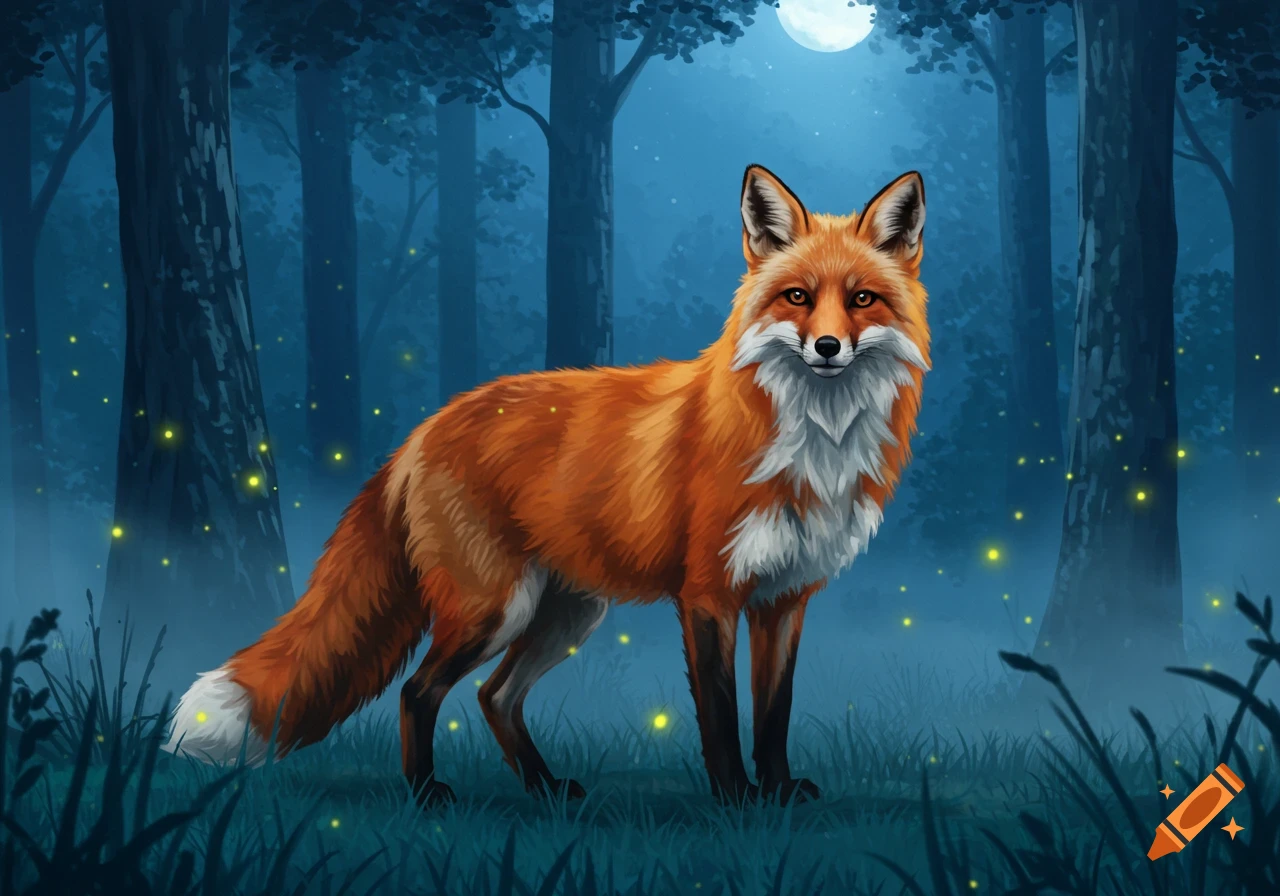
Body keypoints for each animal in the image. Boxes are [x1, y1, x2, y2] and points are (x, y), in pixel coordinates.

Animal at [163, 165, 930, 806]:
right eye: (797, 297)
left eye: (861, 300)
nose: (826, 347)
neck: (812, 443)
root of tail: (425, 428)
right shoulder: (709, 595)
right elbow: (720, 714)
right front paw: (736, 800)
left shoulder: (784, 598)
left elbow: (774, 713)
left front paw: (776, 792)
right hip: (494, 608)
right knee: (418, 691)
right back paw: (426, 794)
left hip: (563, 615)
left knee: (495, 698)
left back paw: (545, 789)